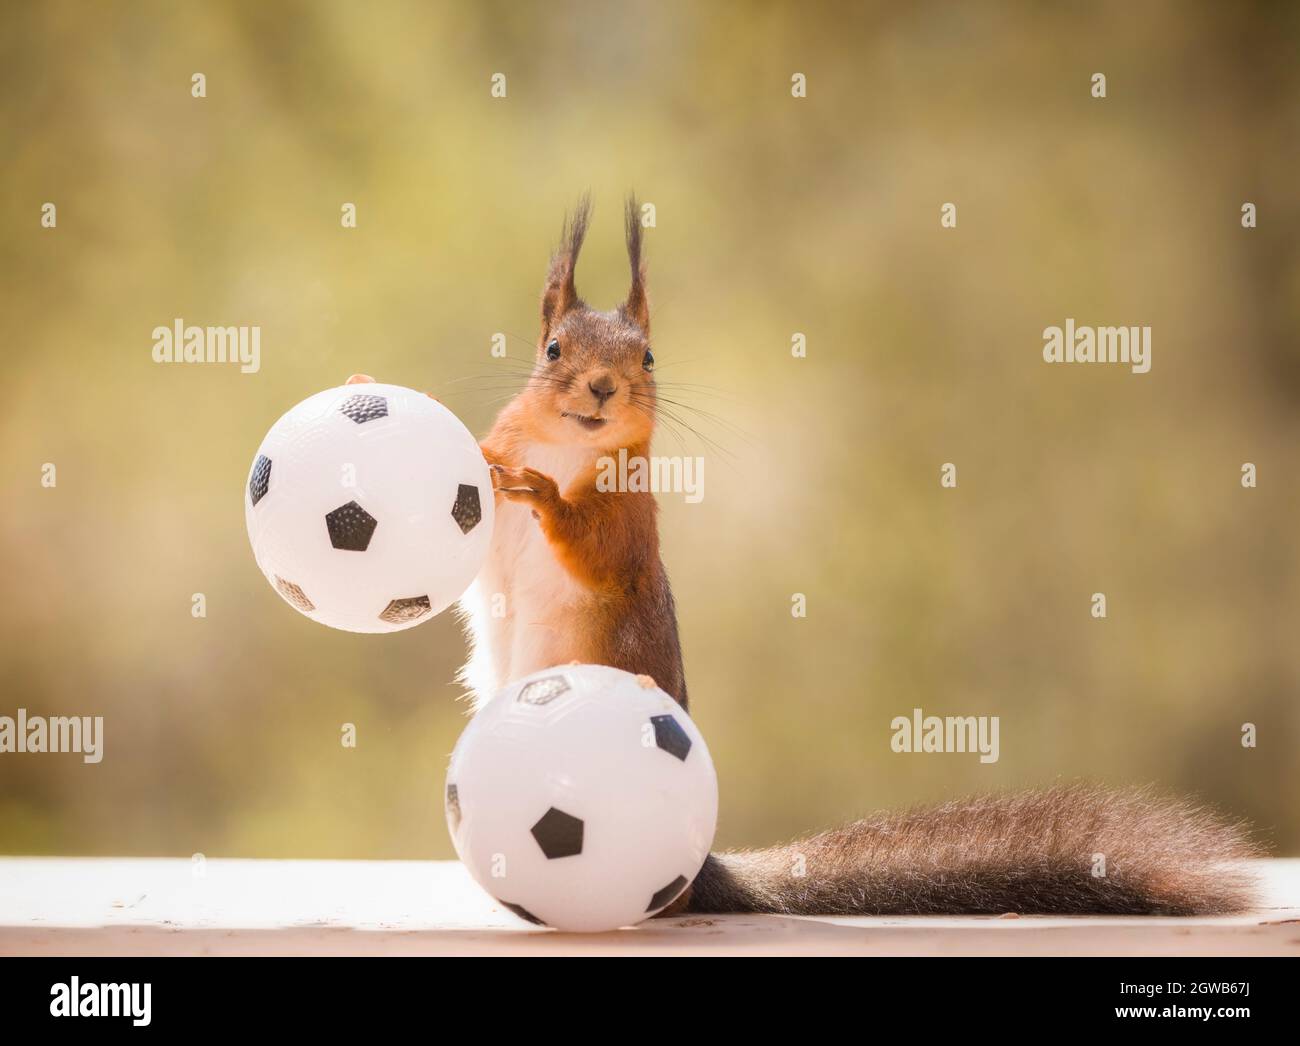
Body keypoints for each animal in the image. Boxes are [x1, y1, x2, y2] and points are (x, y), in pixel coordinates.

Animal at [348, 196, 1258, 917]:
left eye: (648, 357)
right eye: (552, 351)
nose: (603, 389)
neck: (569, 445)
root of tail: (699, 875)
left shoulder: (629, 519)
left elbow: (592, 543)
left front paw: (539, 489)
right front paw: (456, 443)